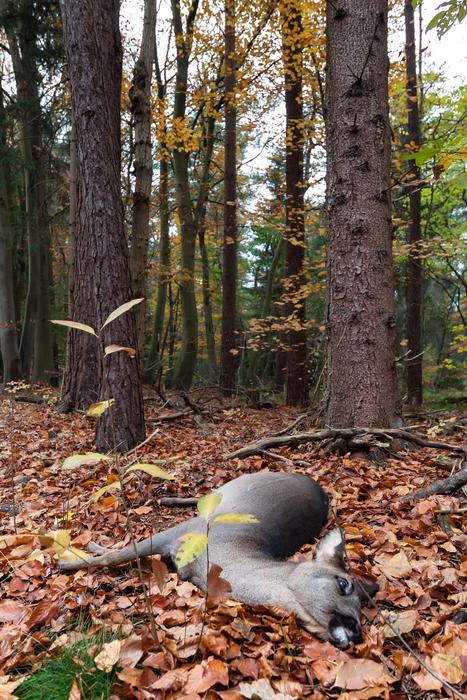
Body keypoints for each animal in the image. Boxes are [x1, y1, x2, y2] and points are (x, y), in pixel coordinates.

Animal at [60, 471, 377, 648]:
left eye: (363, 602)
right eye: (344, 584)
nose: (357, 631)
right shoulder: (183, 532)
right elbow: (119, 553)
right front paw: (68, 560)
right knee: (205, 496)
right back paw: (167, 499)